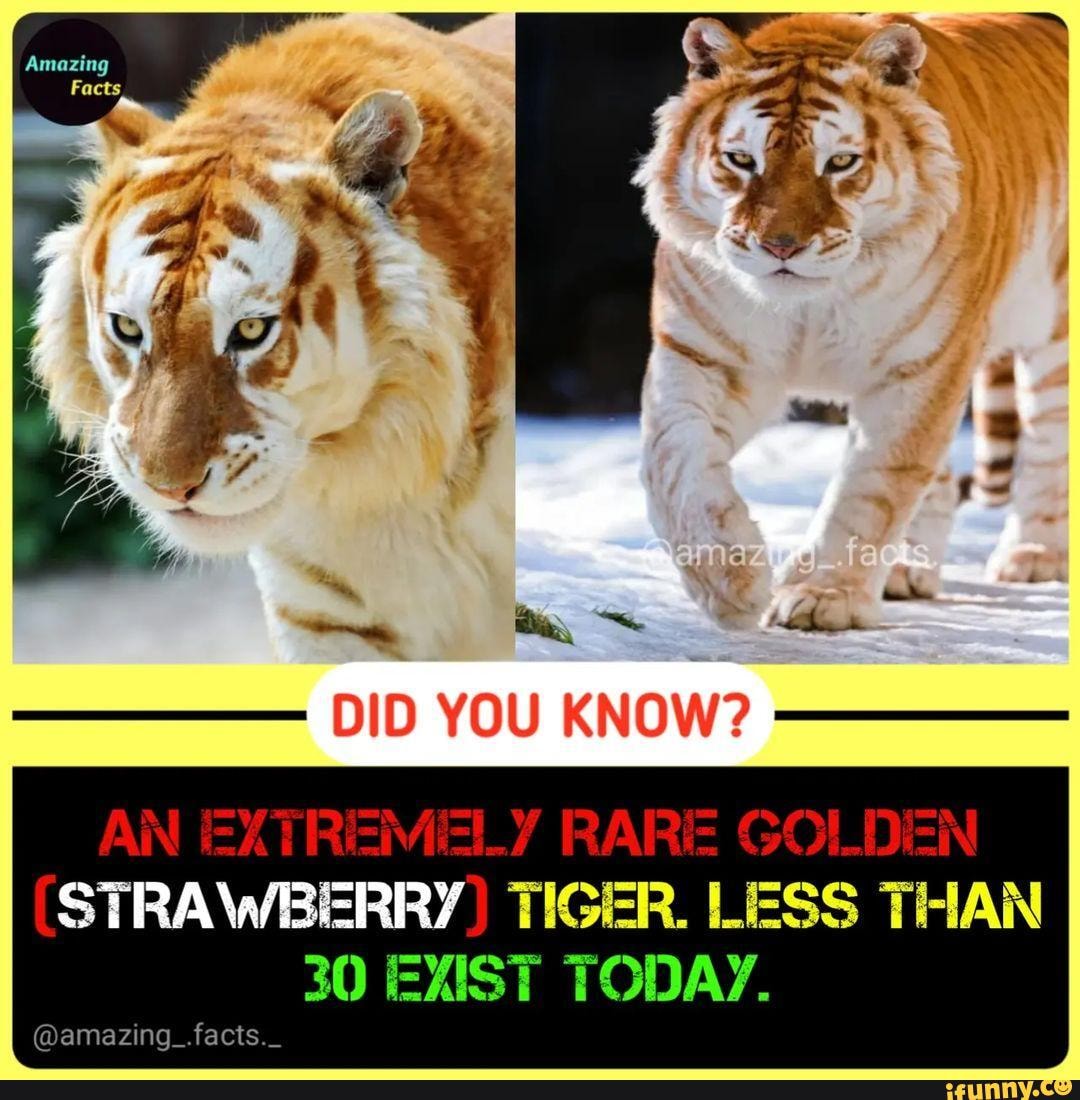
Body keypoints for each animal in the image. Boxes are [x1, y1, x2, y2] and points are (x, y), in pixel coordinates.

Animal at [635, 13, 1067, 632]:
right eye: (742, 161)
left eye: (840, 163)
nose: (780, 245)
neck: (811, 308)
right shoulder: (702, 355)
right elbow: (674, 462)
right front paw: (731, 583)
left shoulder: (920, 369)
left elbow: (872, 489)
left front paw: (823, 597)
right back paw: (907, 572)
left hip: (1053, 341)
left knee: (1047, 448)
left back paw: (1034, 556)